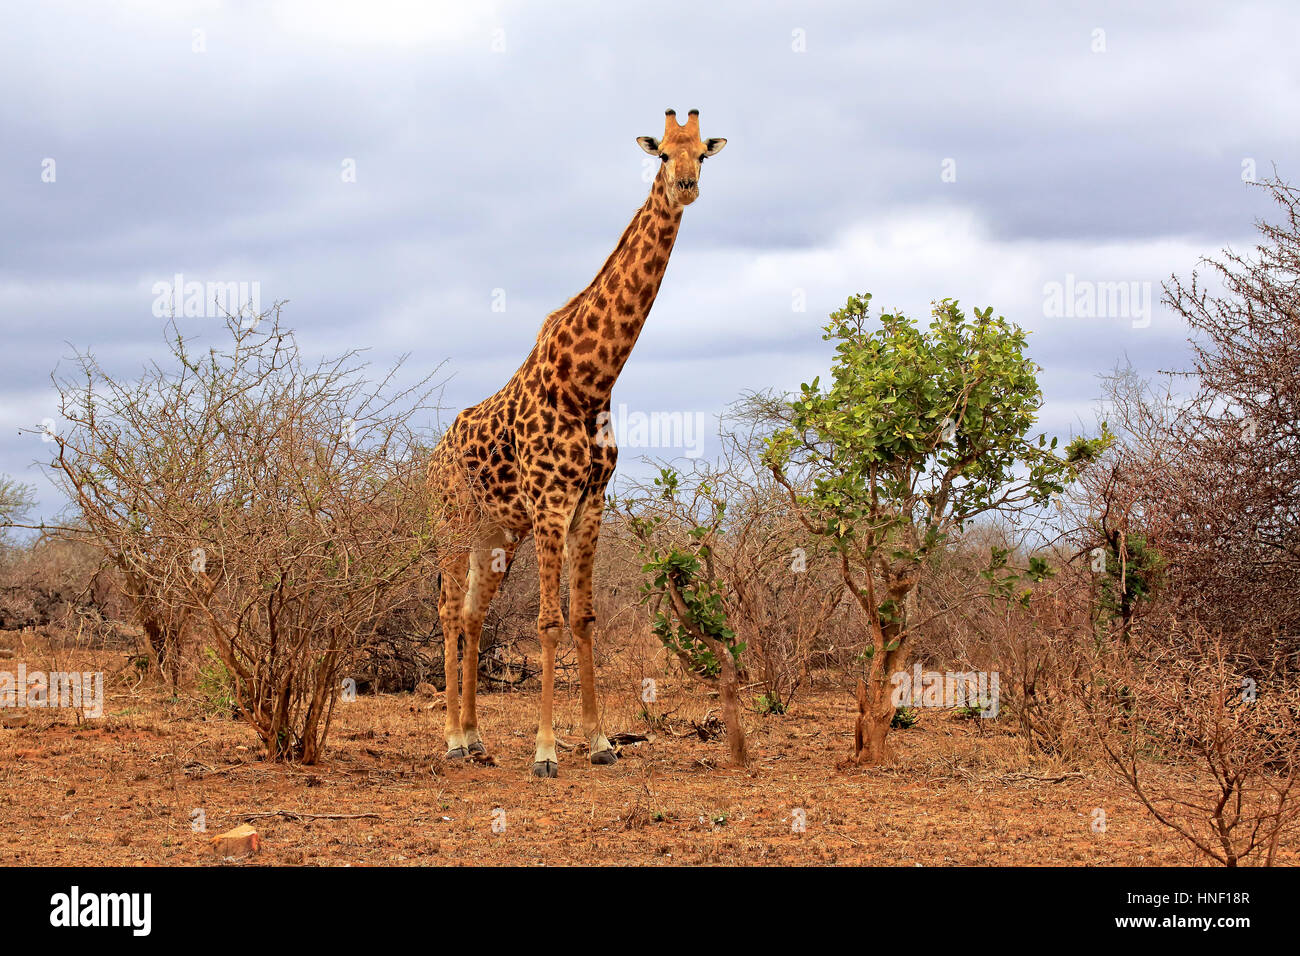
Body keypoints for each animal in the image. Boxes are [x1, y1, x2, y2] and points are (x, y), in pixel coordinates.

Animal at [427, 108, 727, 777]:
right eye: (663, 154)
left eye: (703, 153)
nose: (688, 186)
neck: (589, 382)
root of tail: (430, 457)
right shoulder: (549, 503)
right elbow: (547, 622)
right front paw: (544, 752)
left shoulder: (590, 502)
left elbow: (584, 618)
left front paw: (598, 741)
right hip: (454, 522)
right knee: (448, 612)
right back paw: (453, 740)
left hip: (498, 532)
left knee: (474, 615)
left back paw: (477, 737)